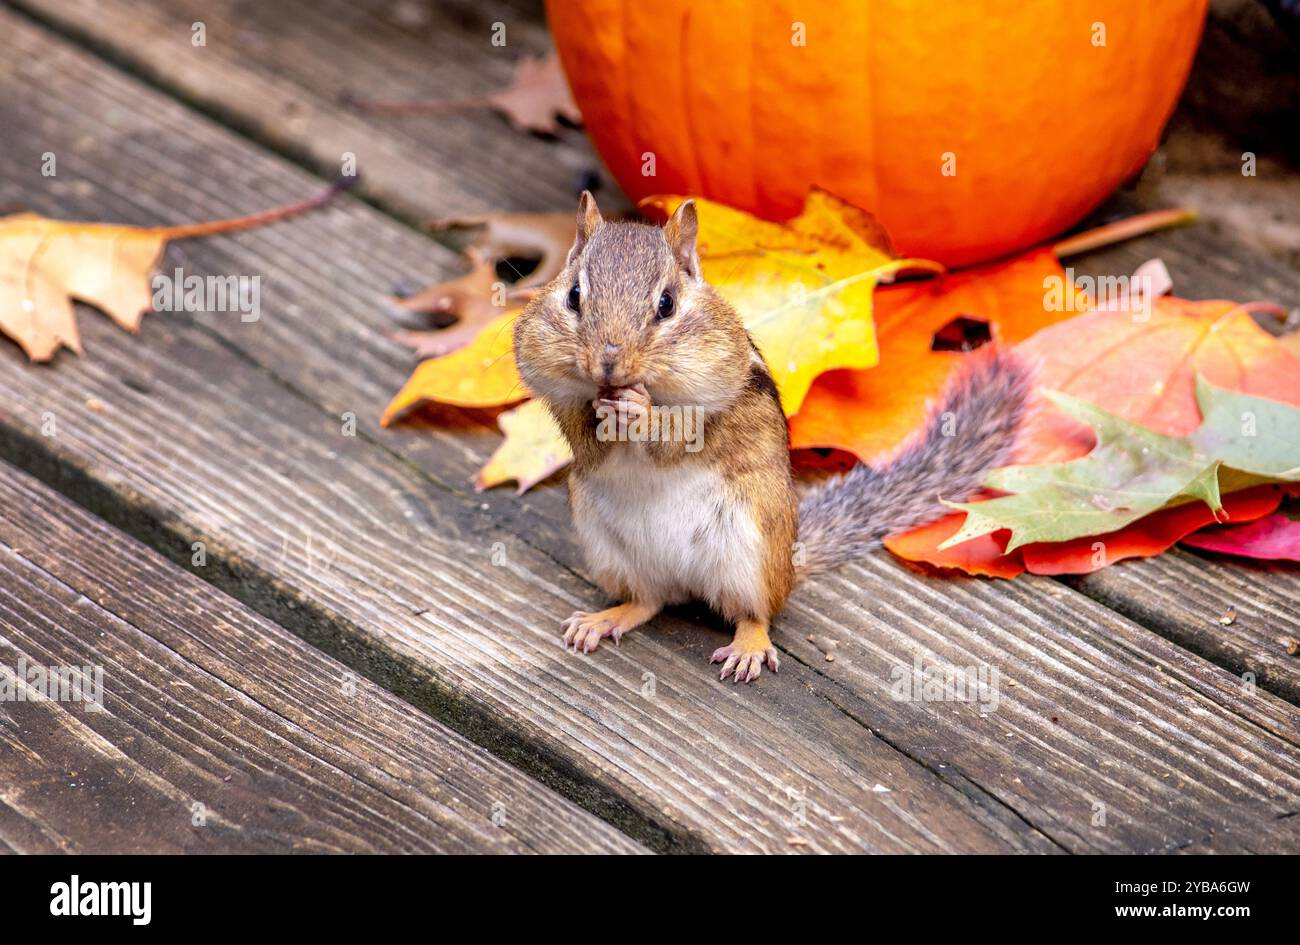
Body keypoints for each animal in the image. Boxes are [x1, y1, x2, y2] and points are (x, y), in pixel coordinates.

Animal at [513, 192, 1030, 683]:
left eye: (666, 304)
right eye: (574, 295)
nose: (609, 362)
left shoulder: (713, 404)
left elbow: (678, 436)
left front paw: (640, 410)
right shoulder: (563, 402)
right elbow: (584, 439)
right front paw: (602, 409)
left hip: (753, 545)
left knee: (754, 612)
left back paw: (748, 646)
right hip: (606, 545)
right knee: (648, 601)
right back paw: (603, 619)